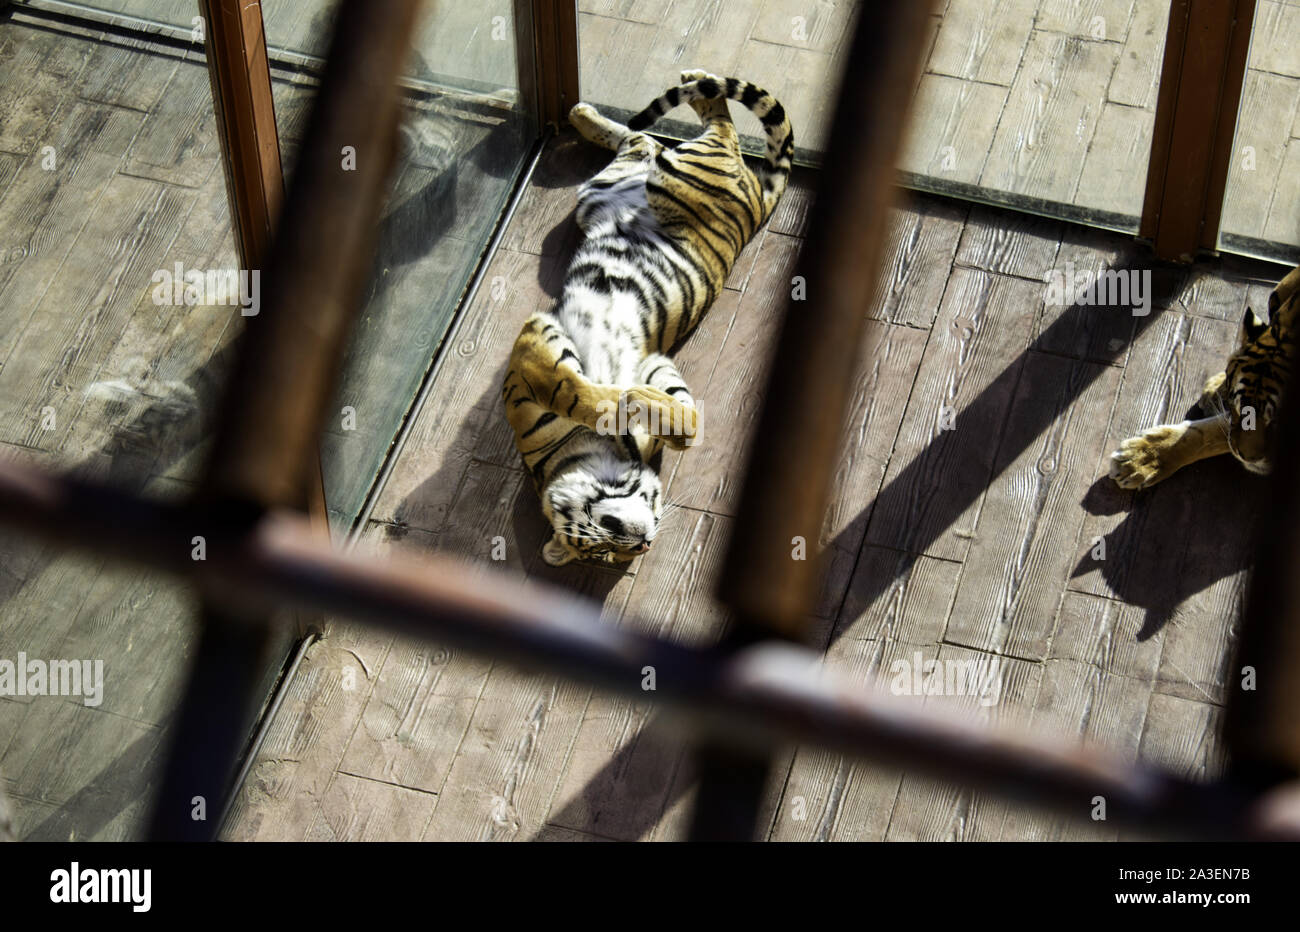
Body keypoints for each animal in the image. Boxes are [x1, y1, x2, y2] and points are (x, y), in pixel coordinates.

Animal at [500, 70, 793, 566]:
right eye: (604, 553)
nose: (644, 544)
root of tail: (756, 199)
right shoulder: (649, 361)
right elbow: (678, 415)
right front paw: (643, 403)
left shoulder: (533, 341)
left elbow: (575, 390)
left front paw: (628, 400)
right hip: (604, 189)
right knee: (644, 140)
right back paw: (591, 111)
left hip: (674, 177)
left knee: (710, 127)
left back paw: (688, 83)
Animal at [1110, 262, 1299, 489]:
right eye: (1239, 411)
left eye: (1278, 422)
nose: (1247, 457)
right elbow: (1214, 430)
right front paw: (1142, 457)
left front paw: (1141, 459)